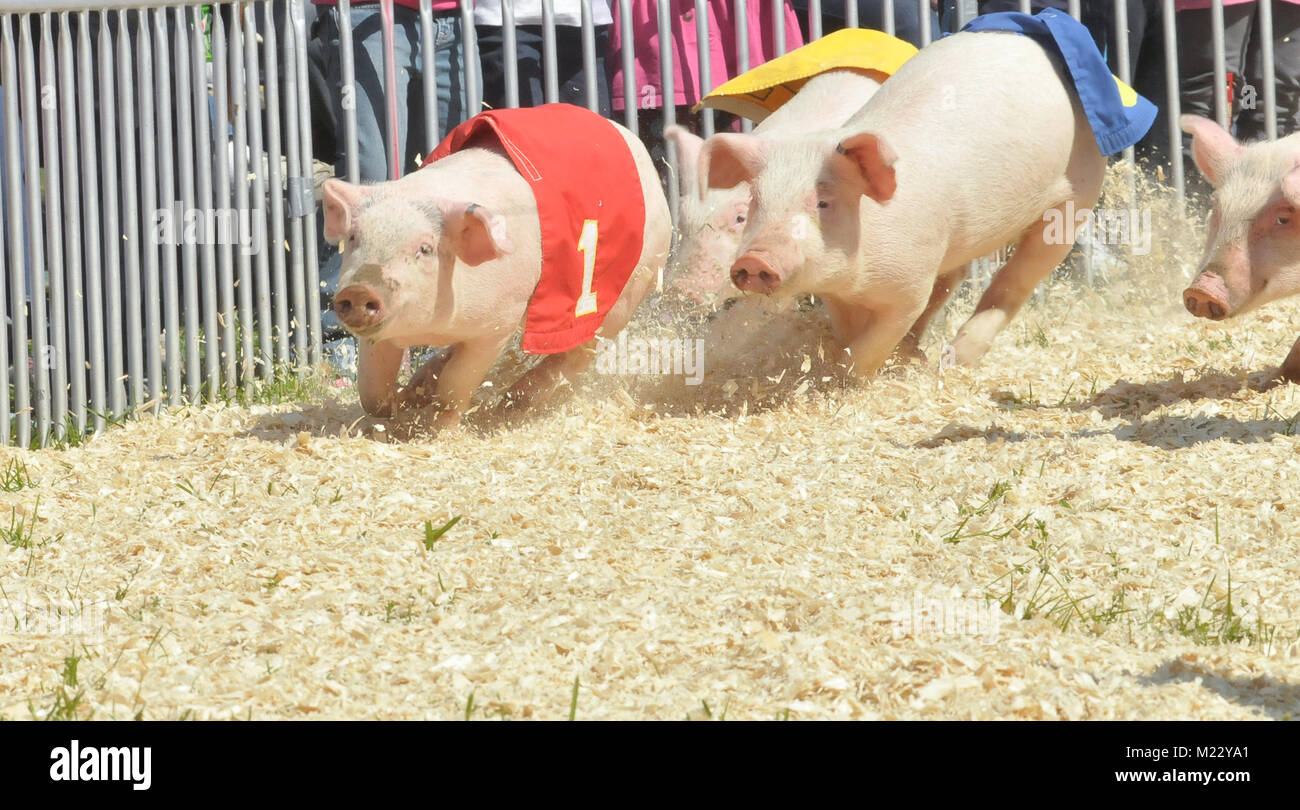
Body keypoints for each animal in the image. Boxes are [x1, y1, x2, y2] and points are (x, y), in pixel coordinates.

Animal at [323, 122, 671, 432]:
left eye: (425, 248)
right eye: (353, 237)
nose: (359, 290)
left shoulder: (497, 324)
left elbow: (456, 384)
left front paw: (440, 428)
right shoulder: (381, 336)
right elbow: (372, 394)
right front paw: (402, 403)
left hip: (625, 293)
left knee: (579, 354)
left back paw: (510, 404)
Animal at [697, 30, 1107, 376]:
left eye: (823, 202)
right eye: (756, 202)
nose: (754, 259)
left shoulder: (909, 286)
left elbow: (874, 342)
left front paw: (850, 377)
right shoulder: (837, 292)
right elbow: (848, 333)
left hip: (1075, 200)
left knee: (1016, 280)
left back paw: (952, 364)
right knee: (956, 276)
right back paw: (920, 354)